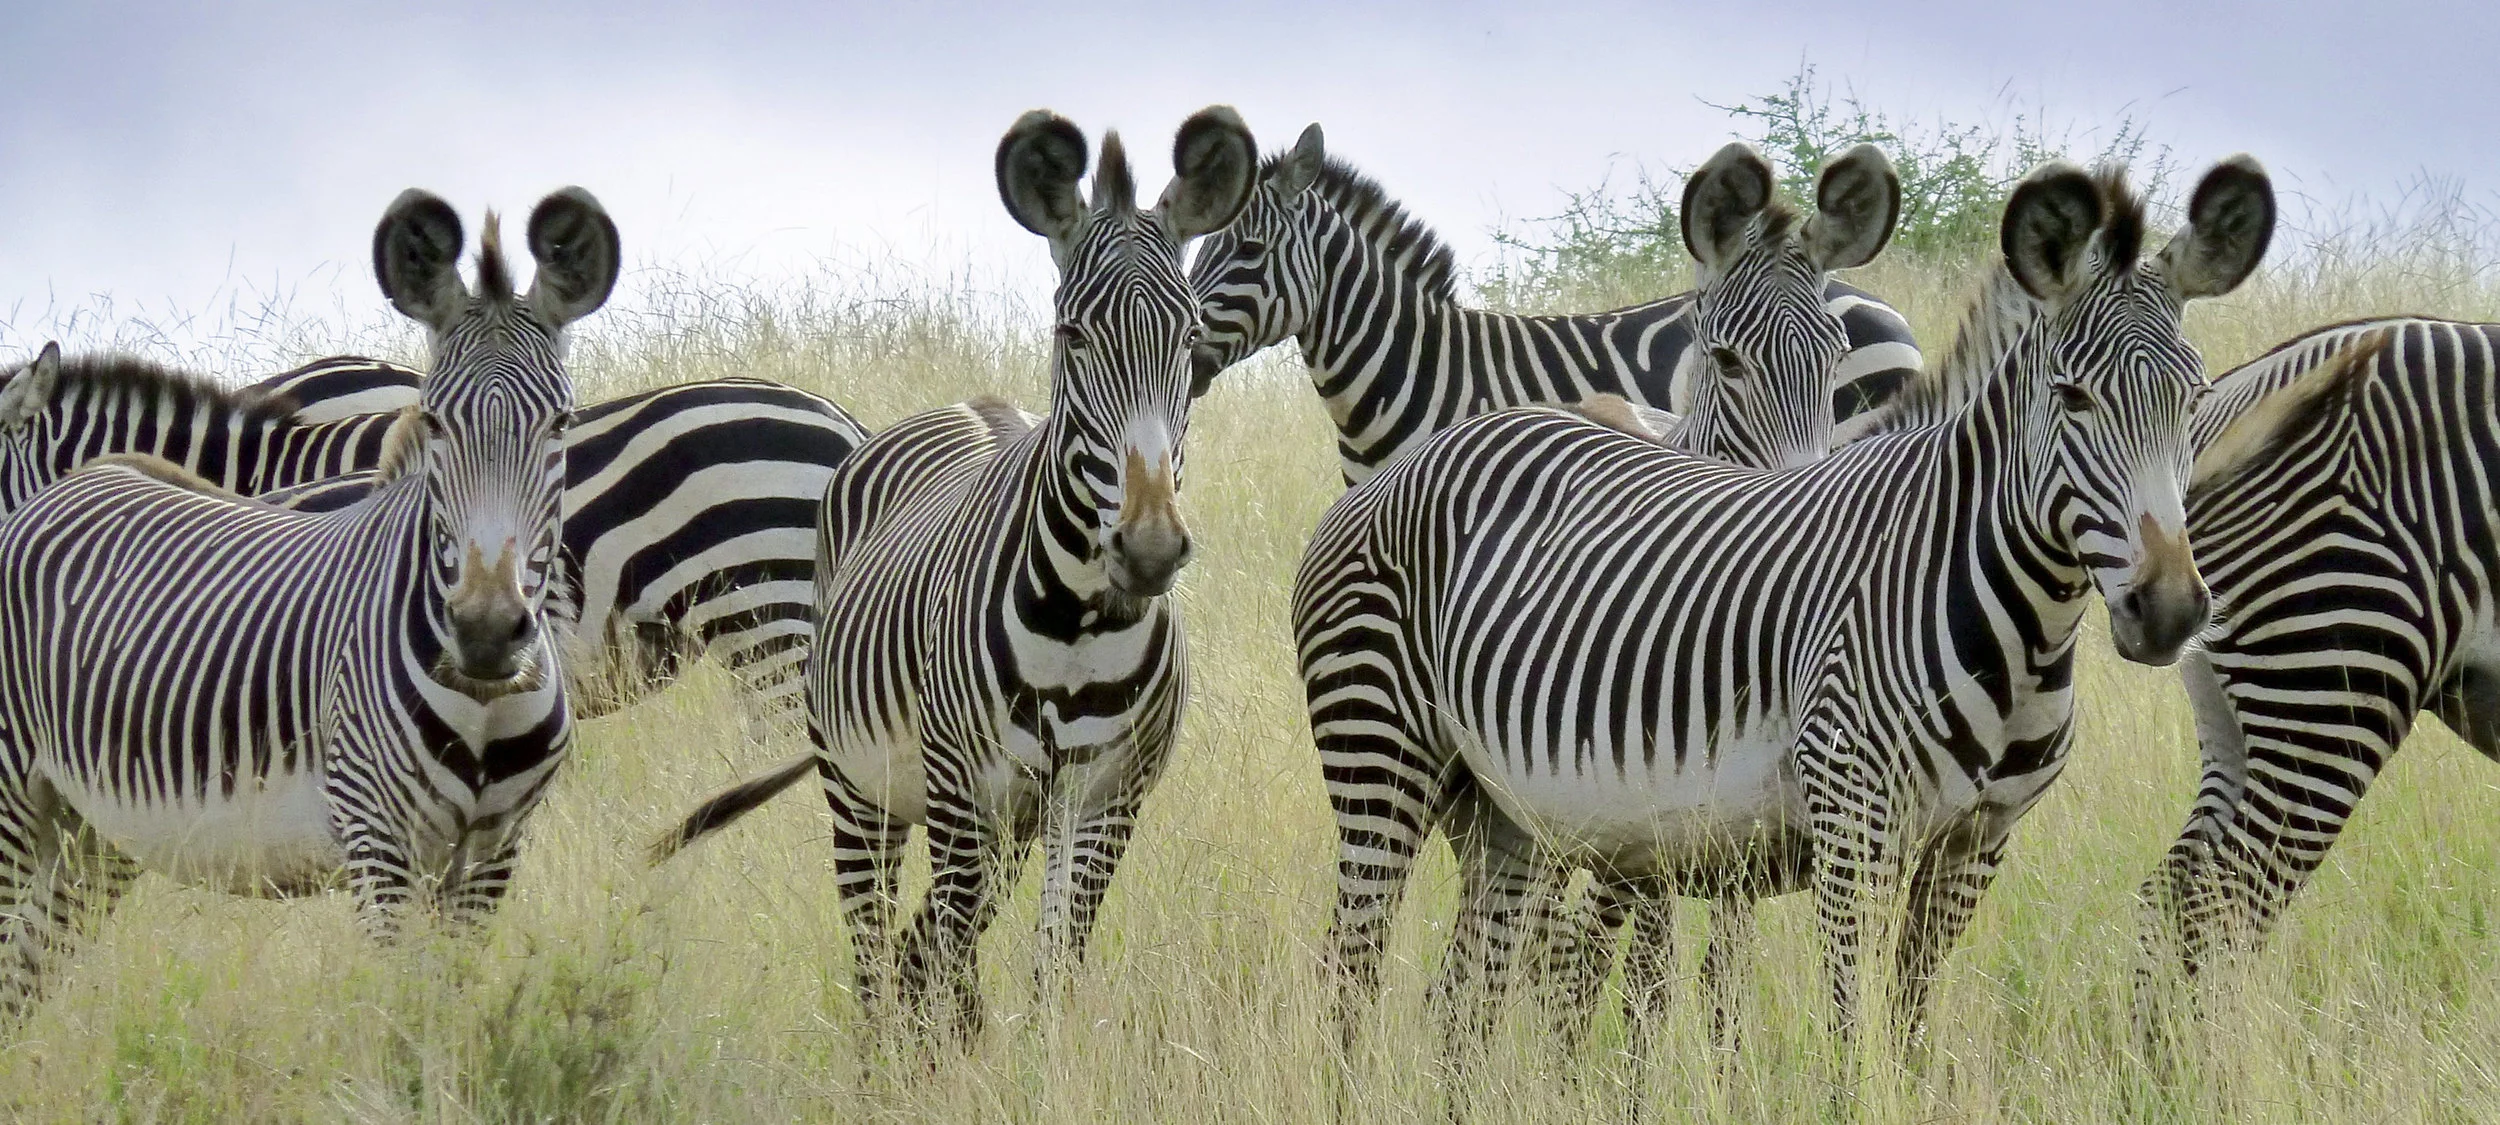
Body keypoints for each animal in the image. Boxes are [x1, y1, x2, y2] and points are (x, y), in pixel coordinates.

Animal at [0, 187, 617, 1020]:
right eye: (434, 421)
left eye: (562, 422)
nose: (488, 632)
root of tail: (73, 488)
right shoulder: (381, 843)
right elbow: (406, 1022)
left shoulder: (494, 851)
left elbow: (451, 1020)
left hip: (88, 827)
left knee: (24, 972)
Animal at [649, 107, 1258, 1043]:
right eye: (1071, 334)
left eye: (1191, 339)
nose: (1150, 549)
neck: (1080, 623)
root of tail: (964, 404)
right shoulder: (968, 792)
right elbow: (949, 965)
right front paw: (953, 1064)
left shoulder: (1106, 798)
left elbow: (1049, 968)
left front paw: (1045, 1065)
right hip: (862, 788)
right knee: (878, 950)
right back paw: (882, 1060)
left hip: (1004, 818)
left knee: (915, 947)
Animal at [1290, 156, 2281, 1056]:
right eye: (2072, 397)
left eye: (2194, 395)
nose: (2168, 609)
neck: (2015, 625)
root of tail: (1418, 453)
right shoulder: (1854, 830)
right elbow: (1852, 1046)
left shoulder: (1976, 847)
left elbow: (1907, 1035)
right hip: (1380, 748)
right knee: (1350, 972)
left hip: (1504, 805)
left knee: (1468, 998)